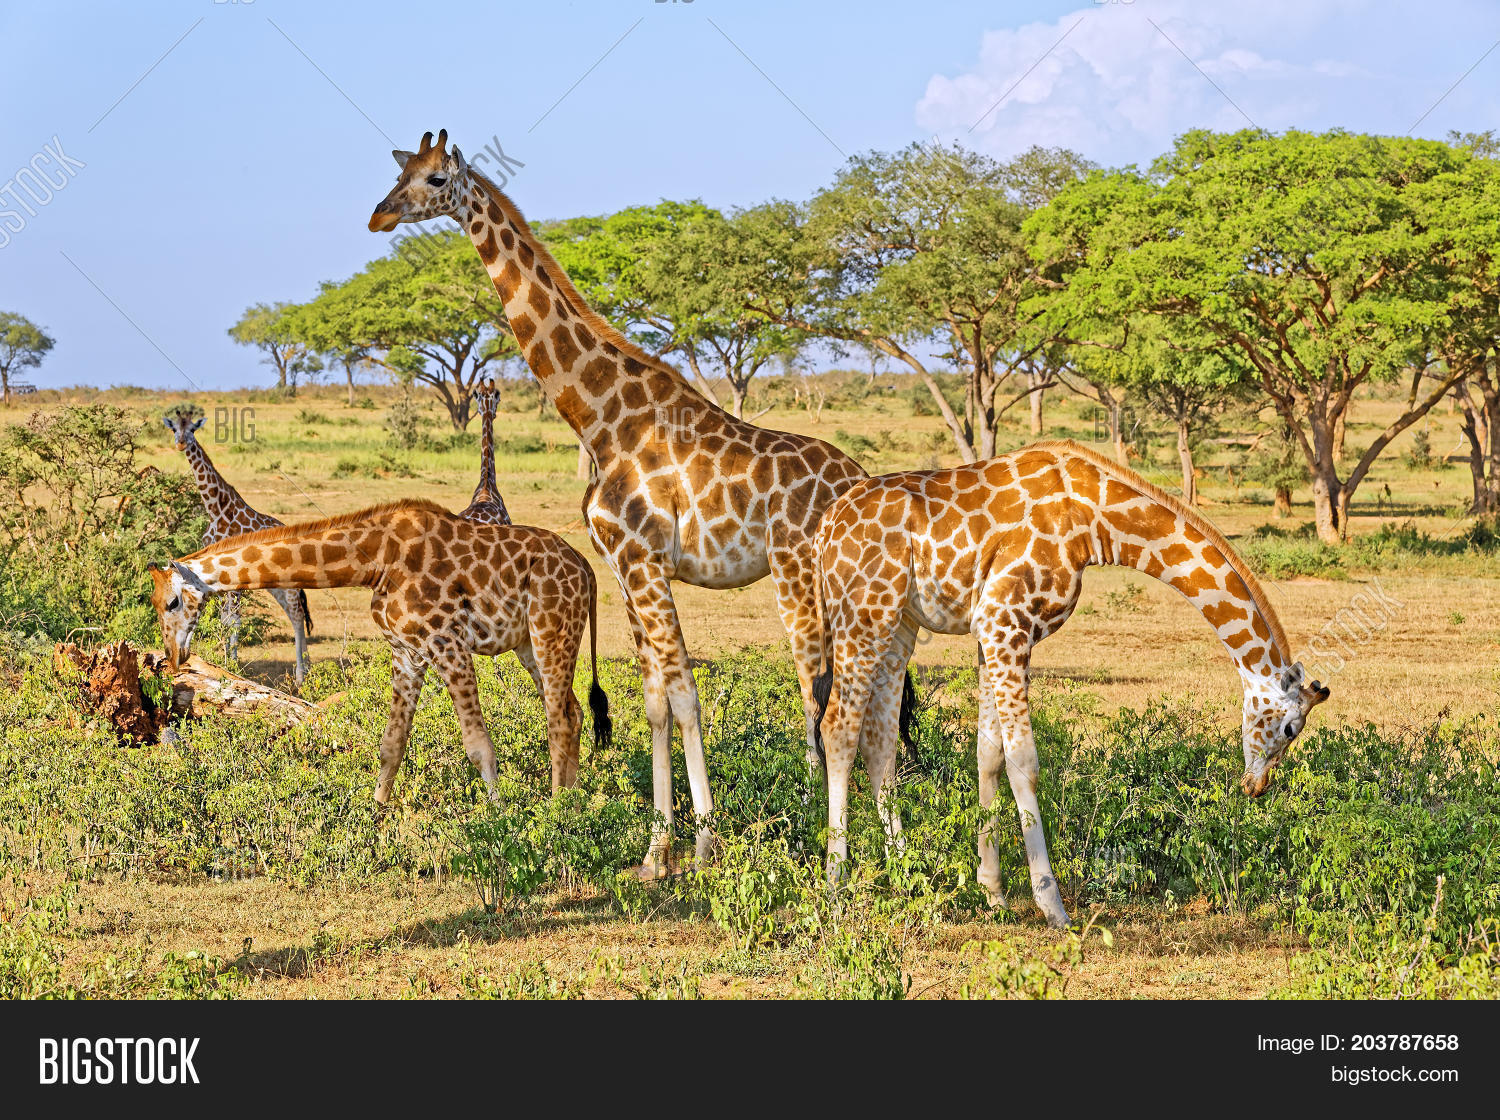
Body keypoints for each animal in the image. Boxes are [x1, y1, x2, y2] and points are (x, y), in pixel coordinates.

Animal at [148, 499, 611, 800]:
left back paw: (555, 811)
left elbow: (477, 743)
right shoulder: (407, 650)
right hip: (530, 644)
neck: (373, 560)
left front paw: (498, 821)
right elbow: (391, 744)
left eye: (171, 602)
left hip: (551, 628)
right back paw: (573, 804)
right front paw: (376, 819)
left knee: (558, 718)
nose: (172, 658)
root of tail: (587, 569)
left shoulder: (447, 642)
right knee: (573, 711)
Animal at [162, 404, 312, 685]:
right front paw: (222, 658)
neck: (216, 509)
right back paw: (305, 670)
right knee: (293, 614)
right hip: (277, 585)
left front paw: (232, 663)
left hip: (288, 582)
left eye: (193, 429)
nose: (180, 444)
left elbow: (234, 621)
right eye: (174, 428)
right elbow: (224, 619)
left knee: (297, 615)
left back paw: (300, 677)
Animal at [812, 440, 1330, 927]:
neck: (1093, 521)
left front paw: (993, 892)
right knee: (838, 728)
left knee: (879, 741)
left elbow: (989, 755)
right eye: (1289, 729)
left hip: (897, 624)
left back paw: (907, 875)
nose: (1256, 787)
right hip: (864, 614)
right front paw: (1052, 906)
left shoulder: (991, 630)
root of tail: (824, 531)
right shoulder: (1006, 619)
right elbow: (1024, 761)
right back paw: (835, 891)